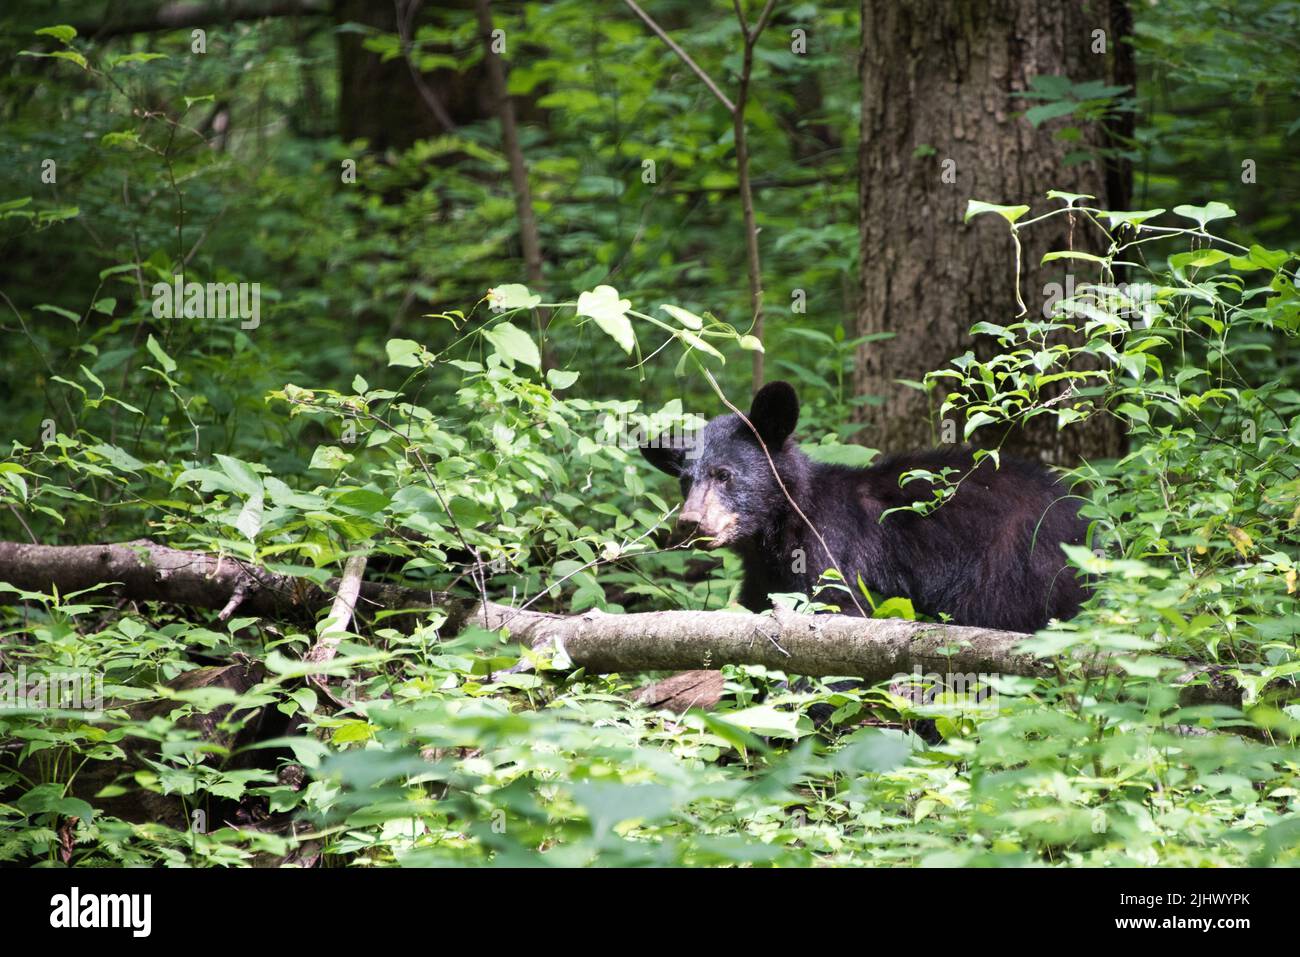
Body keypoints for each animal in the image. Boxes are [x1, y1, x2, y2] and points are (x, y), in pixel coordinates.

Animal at [639, 381, 1088, 632]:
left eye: (724, 474)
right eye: (685, 480)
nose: (690, 522)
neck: (781, 528)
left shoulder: (833, 550)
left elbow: (837, 614)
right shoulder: (766, 576)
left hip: (1013, 565)